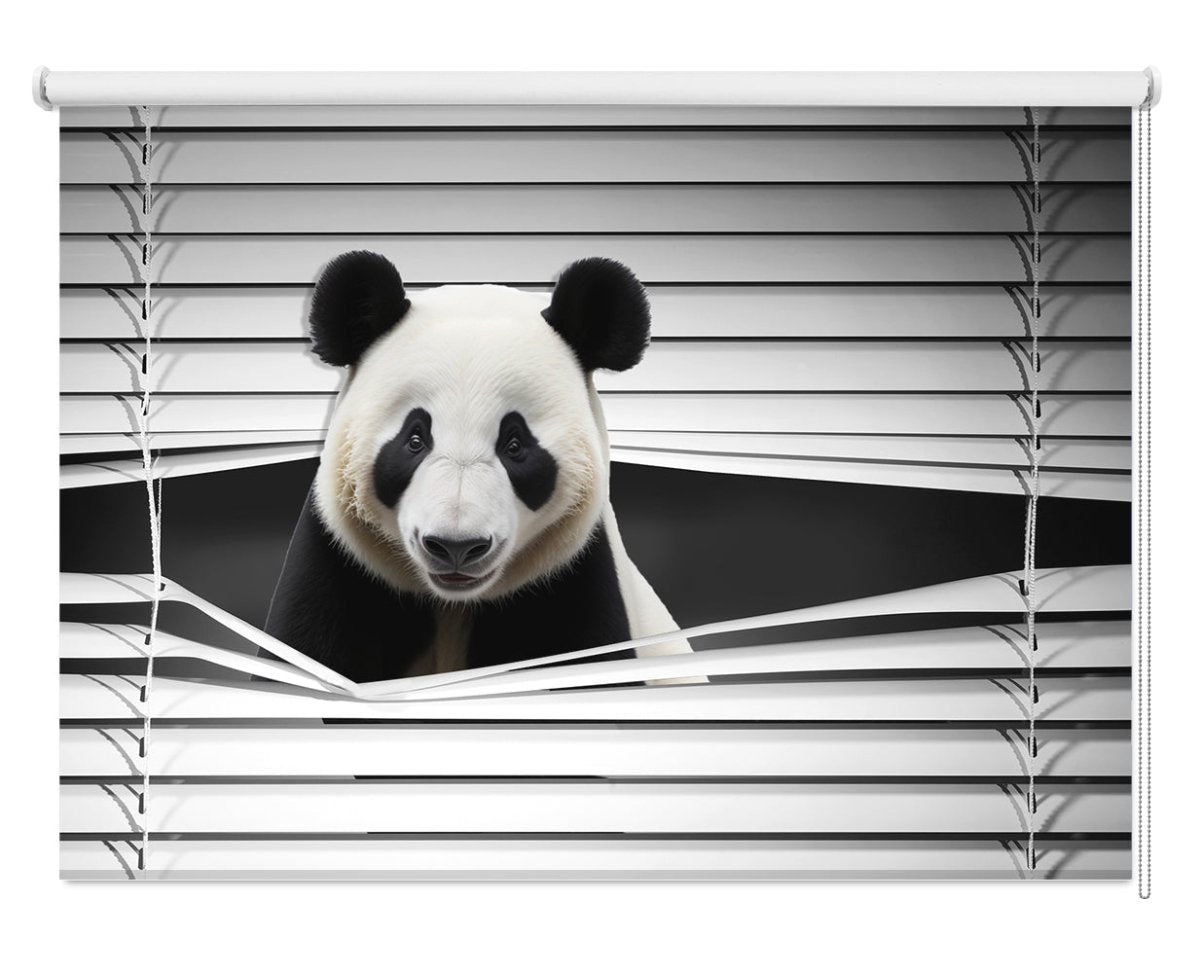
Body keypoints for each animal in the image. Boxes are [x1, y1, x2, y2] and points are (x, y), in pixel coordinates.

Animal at [265, 251, 692, 683]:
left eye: (515, 445)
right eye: (415, 440)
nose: (456, 546)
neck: (452, 602)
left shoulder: (571, 578)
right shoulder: (342, 562)